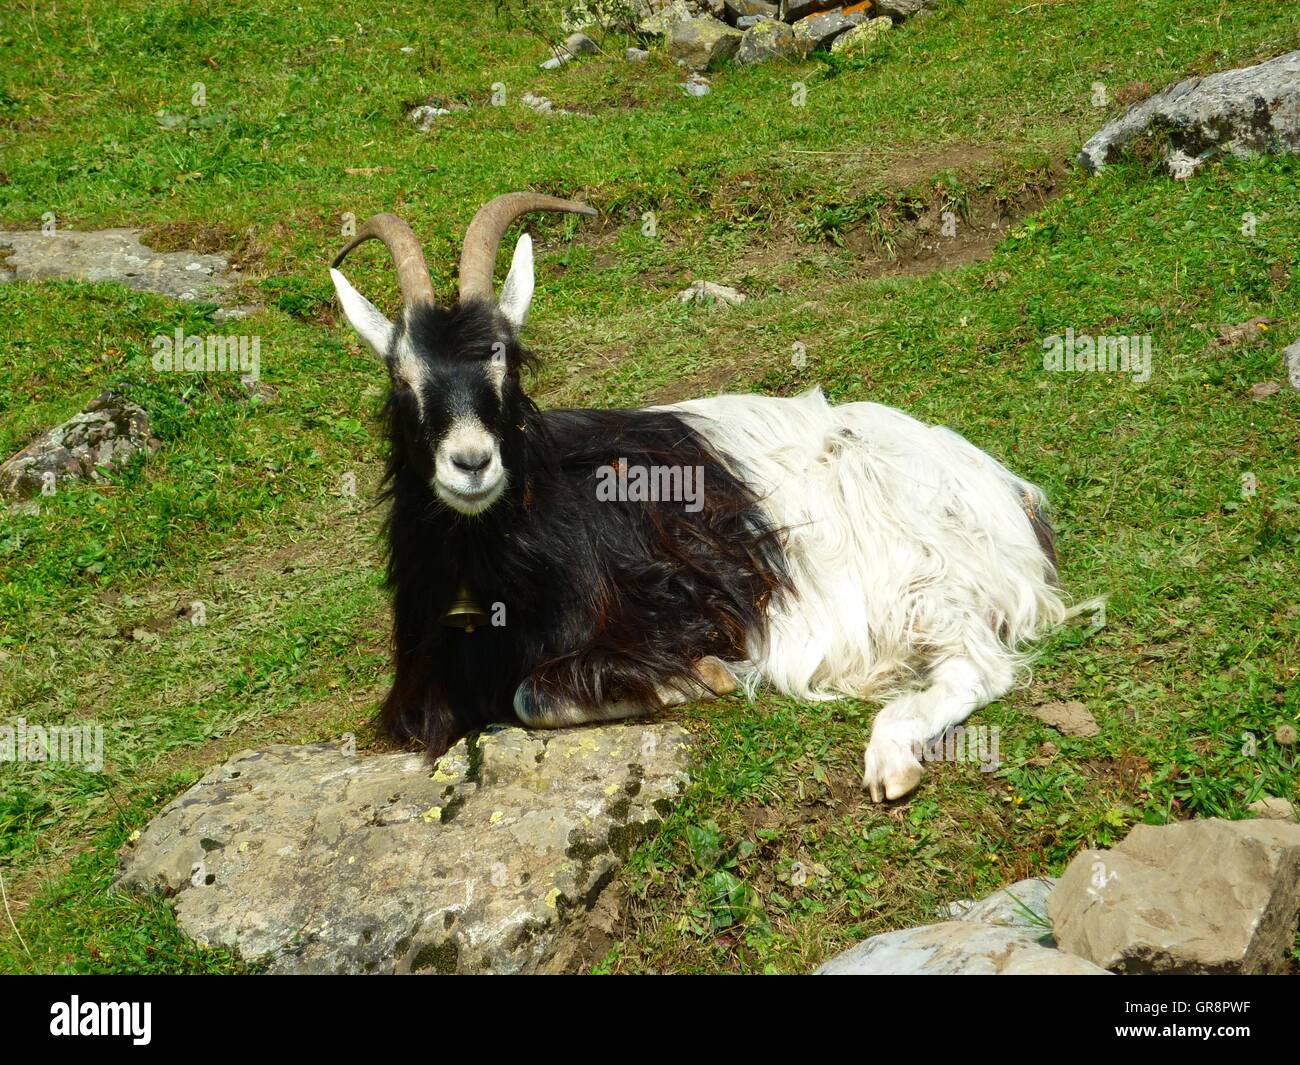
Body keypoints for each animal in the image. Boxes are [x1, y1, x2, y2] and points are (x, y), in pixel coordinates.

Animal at [330, 193, 1067, 802]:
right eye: (401, 378)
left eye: (506, 362)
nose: (472, 463)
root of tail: (1006, 490)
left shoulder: (688, 607)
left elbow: (531, 694)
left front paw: (696, 677)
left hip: (925, 575)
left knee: (977, 667)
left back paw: (892, 758)